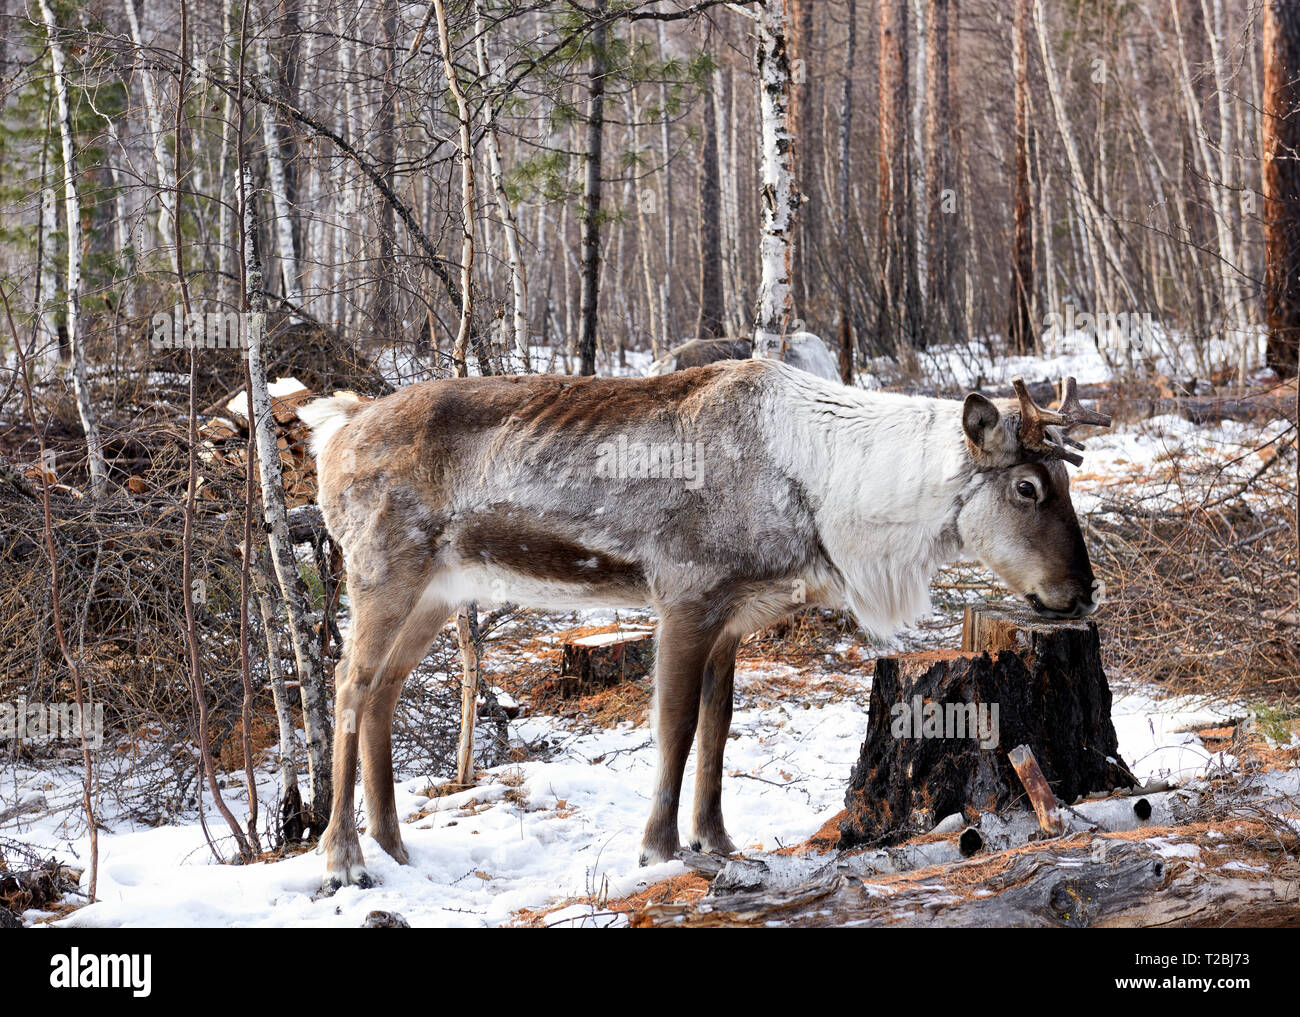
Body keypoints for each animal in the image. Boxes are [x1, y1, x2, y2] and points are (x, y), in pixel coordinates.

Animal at [297, 360, 1111, 891]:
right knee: (346, 684)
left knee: (383, 691)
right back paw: (344, 859)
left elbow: (719, 730)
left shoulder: (734, 616)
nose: (1079, 592)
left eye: (1066, 479)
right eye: (1028, 486)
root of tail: (334, 429)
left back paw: (396, 849)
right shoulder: (687, 597)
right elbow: (678, 727)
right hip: (382, 572)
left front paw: (717, 841)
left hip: (437, 591)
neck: (831, 497)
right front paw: (660, 849)